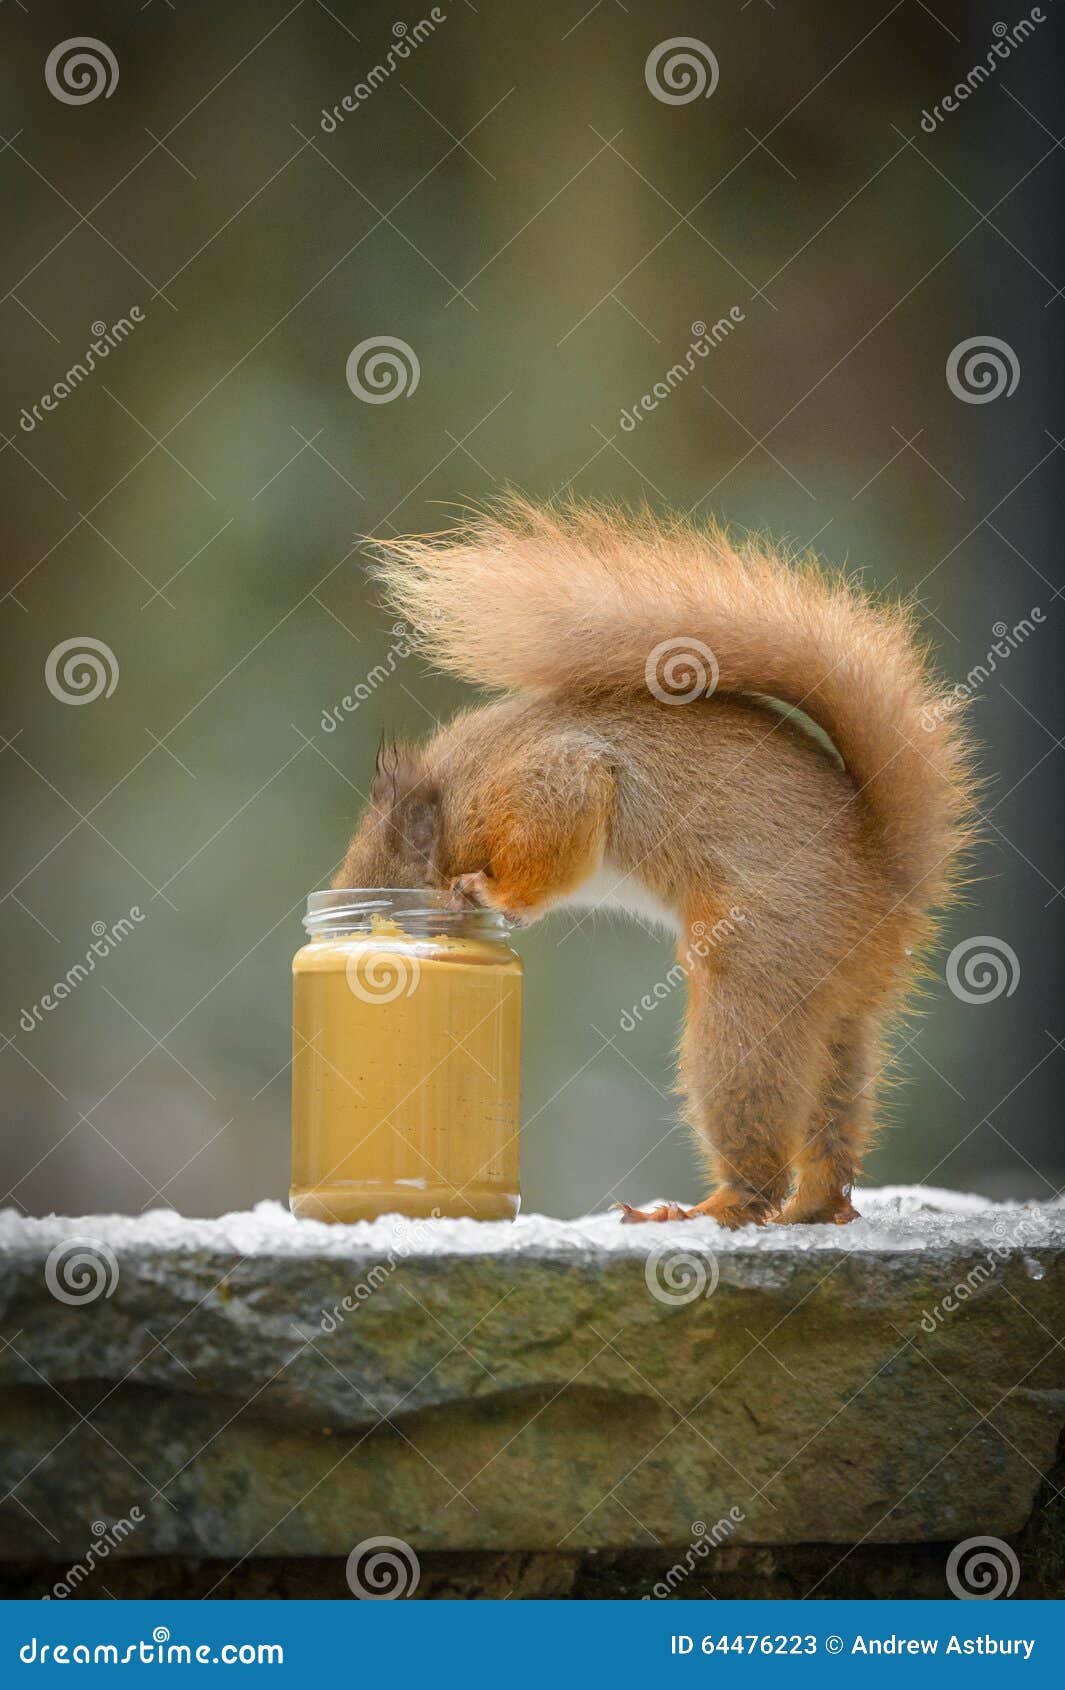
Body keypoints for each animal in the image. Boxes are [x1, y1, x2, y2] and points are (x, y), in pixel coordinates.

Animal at [335, 497, 976, 1228]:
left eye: (384, 886)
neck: (453, 799)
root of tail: (888, 880)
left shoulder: (551, 780)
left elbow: (544, 856)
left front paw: (486, 895)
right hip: (839, 1009)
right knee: (836, 1110)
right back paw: (814, 1206)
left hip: (757, 972)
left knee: (754, 1131)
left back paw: (711, 1208)